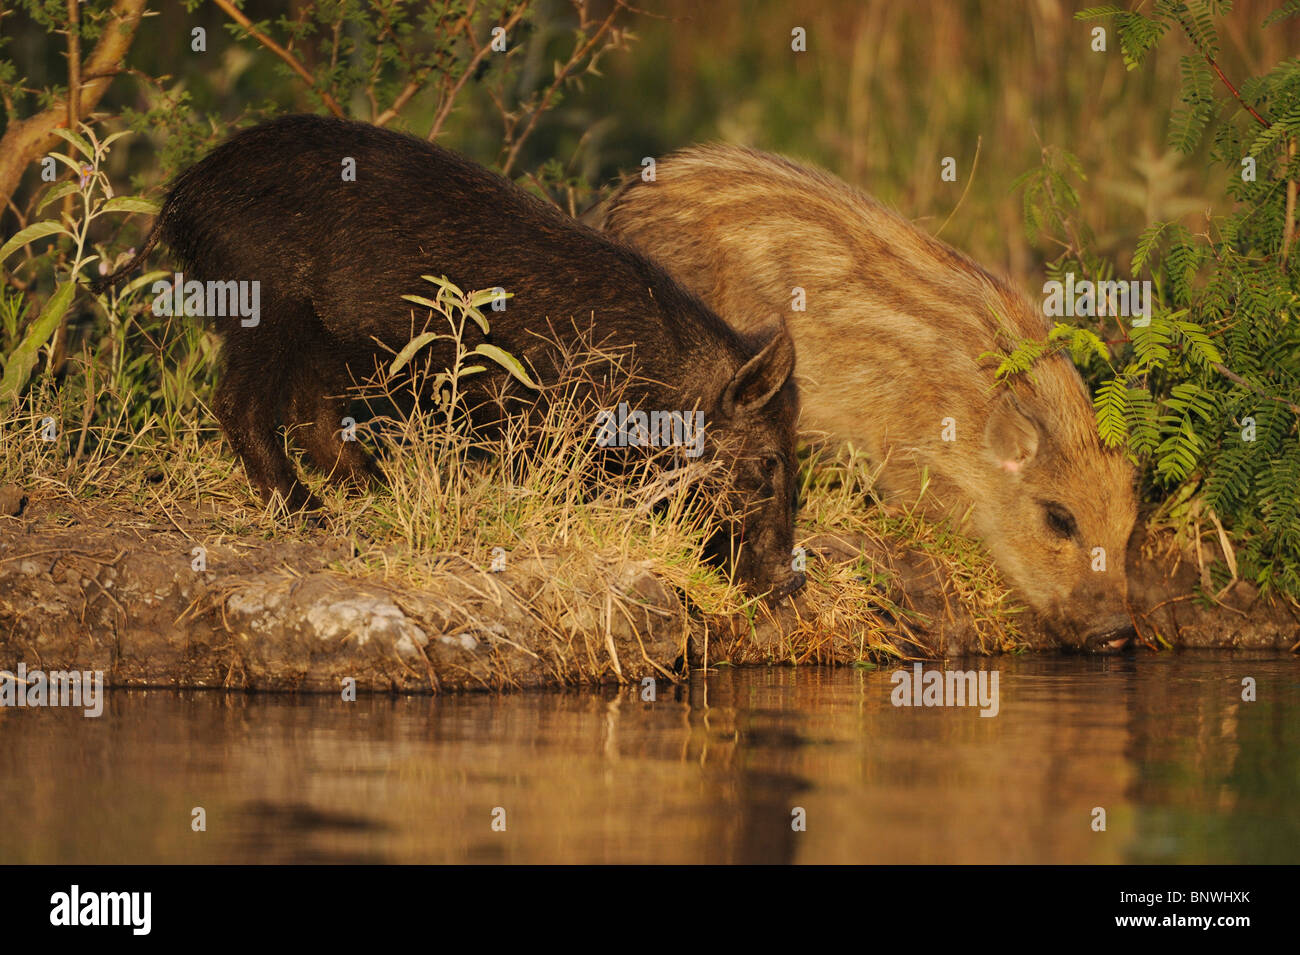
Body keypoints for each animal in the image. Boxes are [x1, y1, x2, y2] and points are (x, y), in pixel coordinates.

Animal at [95, 117, 804, 600]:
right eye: (768, 463)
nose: (789, 581)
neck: (662, 385)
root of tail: (183, 193)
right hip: (263, 302)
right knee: (240, 403)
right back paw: (305, 512)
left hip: (321, 332)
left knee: (309, 410)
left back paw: (375, 486)